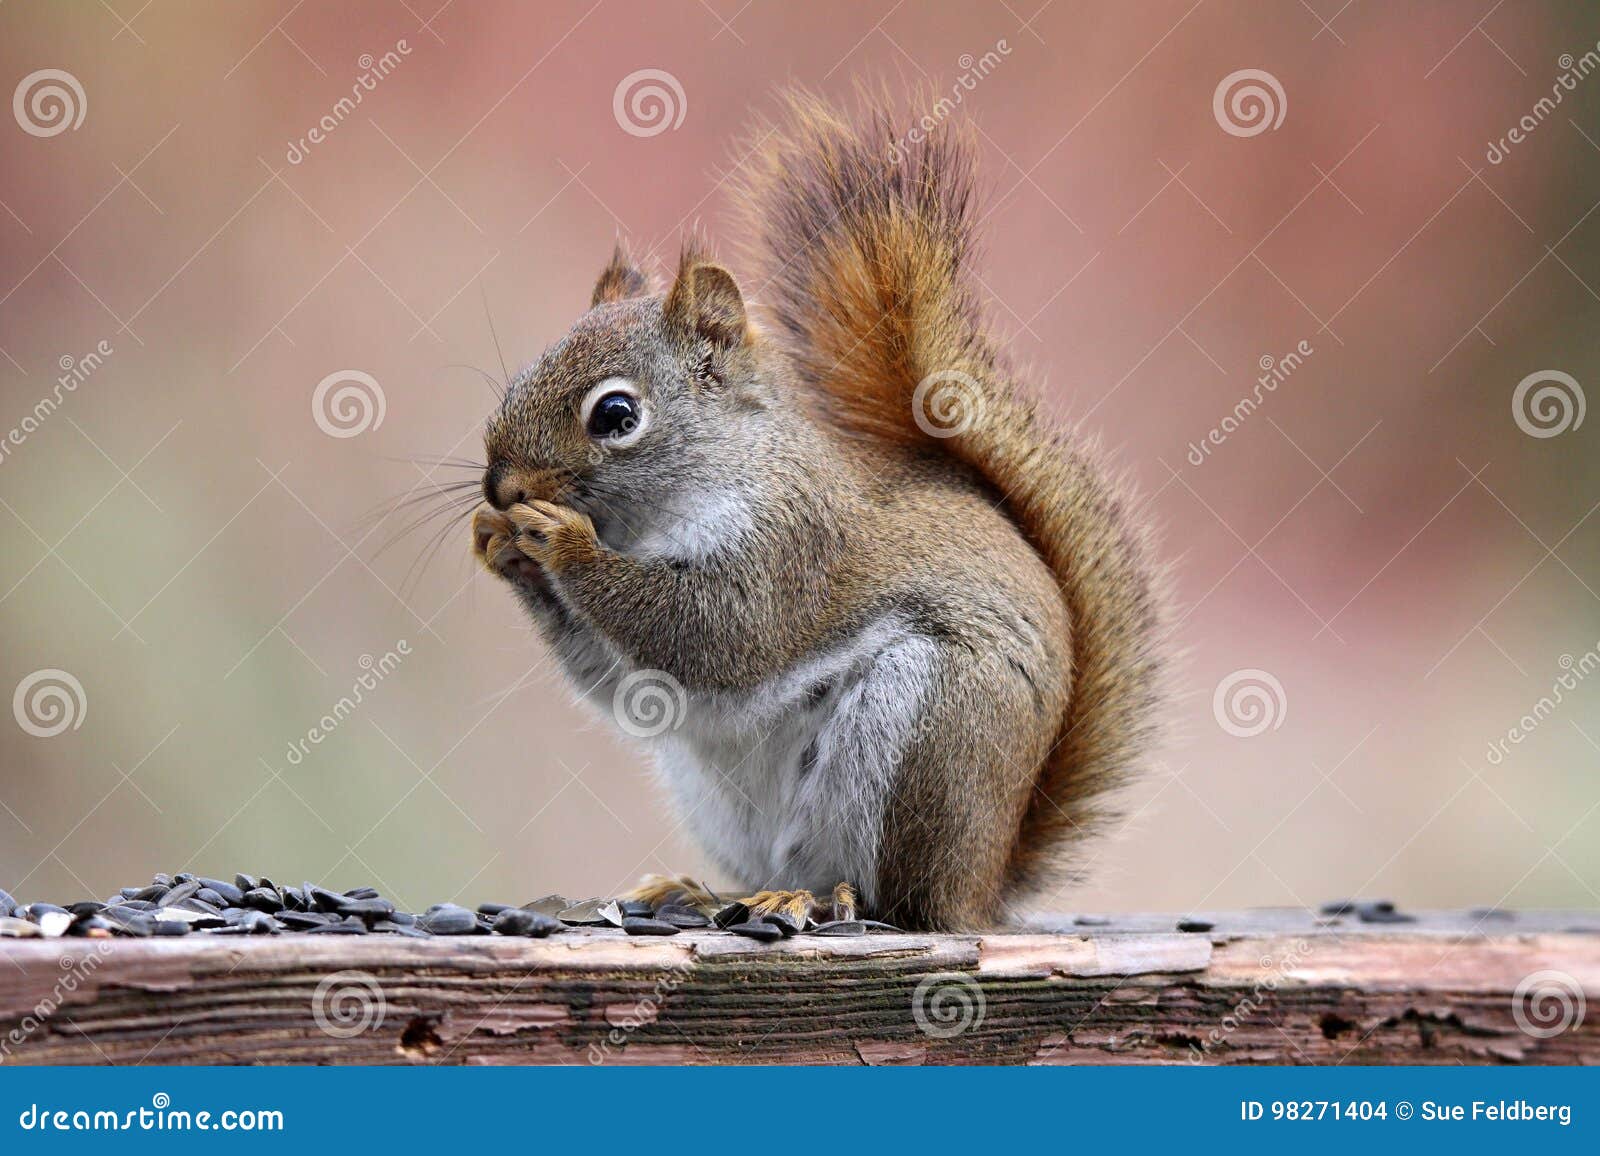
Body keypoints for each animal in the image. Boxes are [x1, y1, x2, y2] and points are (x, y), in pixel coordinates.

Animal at [470, 91, 1165, 932]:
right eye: (520, 379)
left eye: (615, 416)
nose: (499, 488)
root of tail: (982, 887)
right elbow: (615, 675)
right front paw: (498, 546)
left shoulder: (792, 548)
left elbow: (713, 631)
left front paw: (561, 543)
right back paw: (713, 893)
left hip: (923, 734)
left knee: (892, 899)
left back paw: (822, 896)